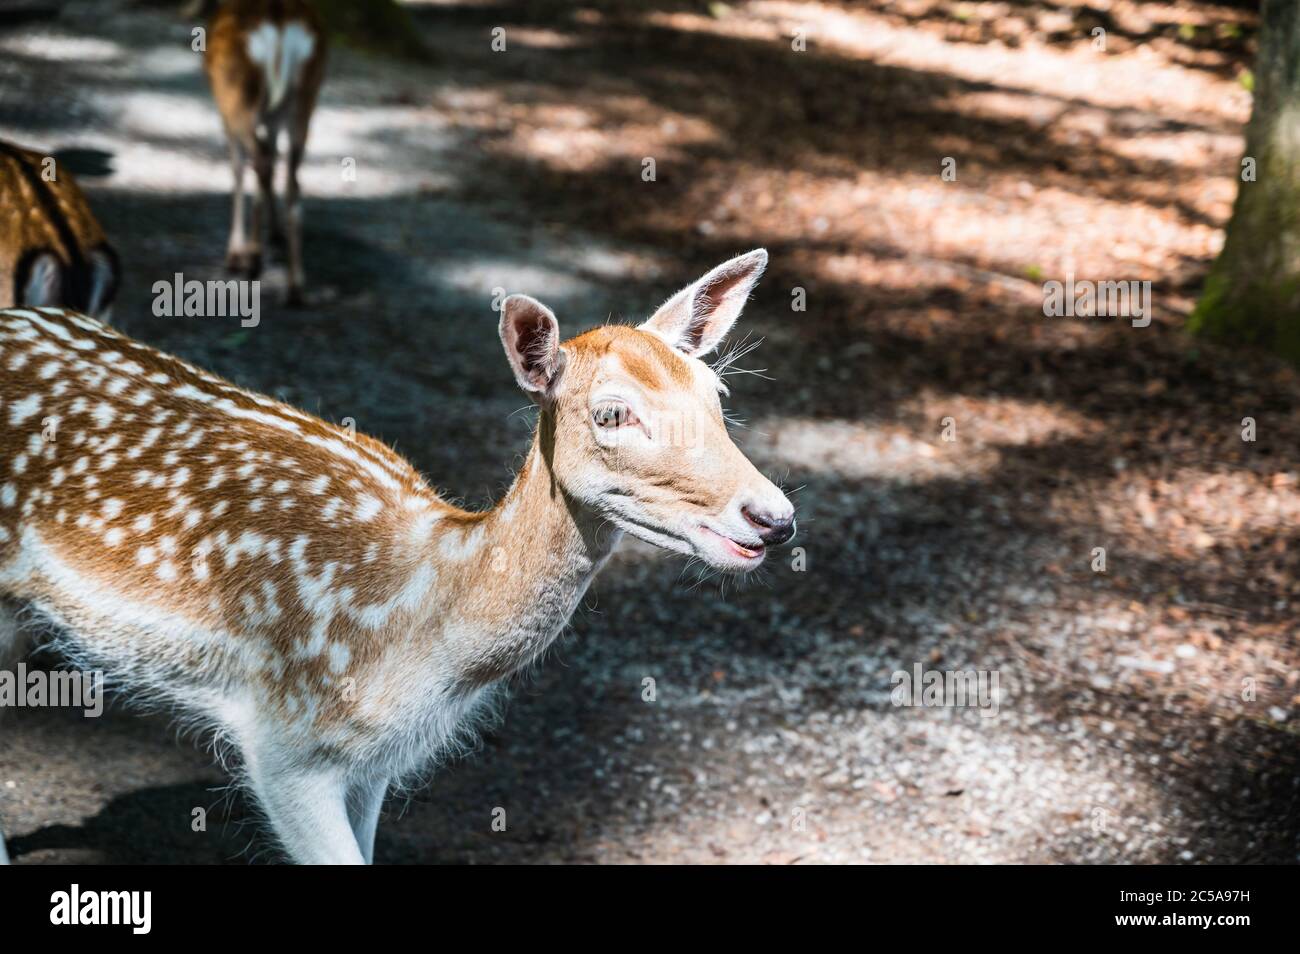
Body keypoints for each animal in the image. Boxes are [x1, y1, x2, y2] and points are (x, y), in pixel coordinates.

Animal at [204, 0, 326, 305]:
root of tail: (279, 18)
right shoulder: (273, 118)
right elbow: (271, 167)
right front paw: (276, 233)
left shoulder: (227, 112)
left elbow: (237, 170)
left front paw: (236, 251)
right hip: (304, 97)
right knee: (291, 176)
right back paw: (295, 283)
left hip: (236, 91)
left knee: (258, 159)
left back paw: (253, 258)